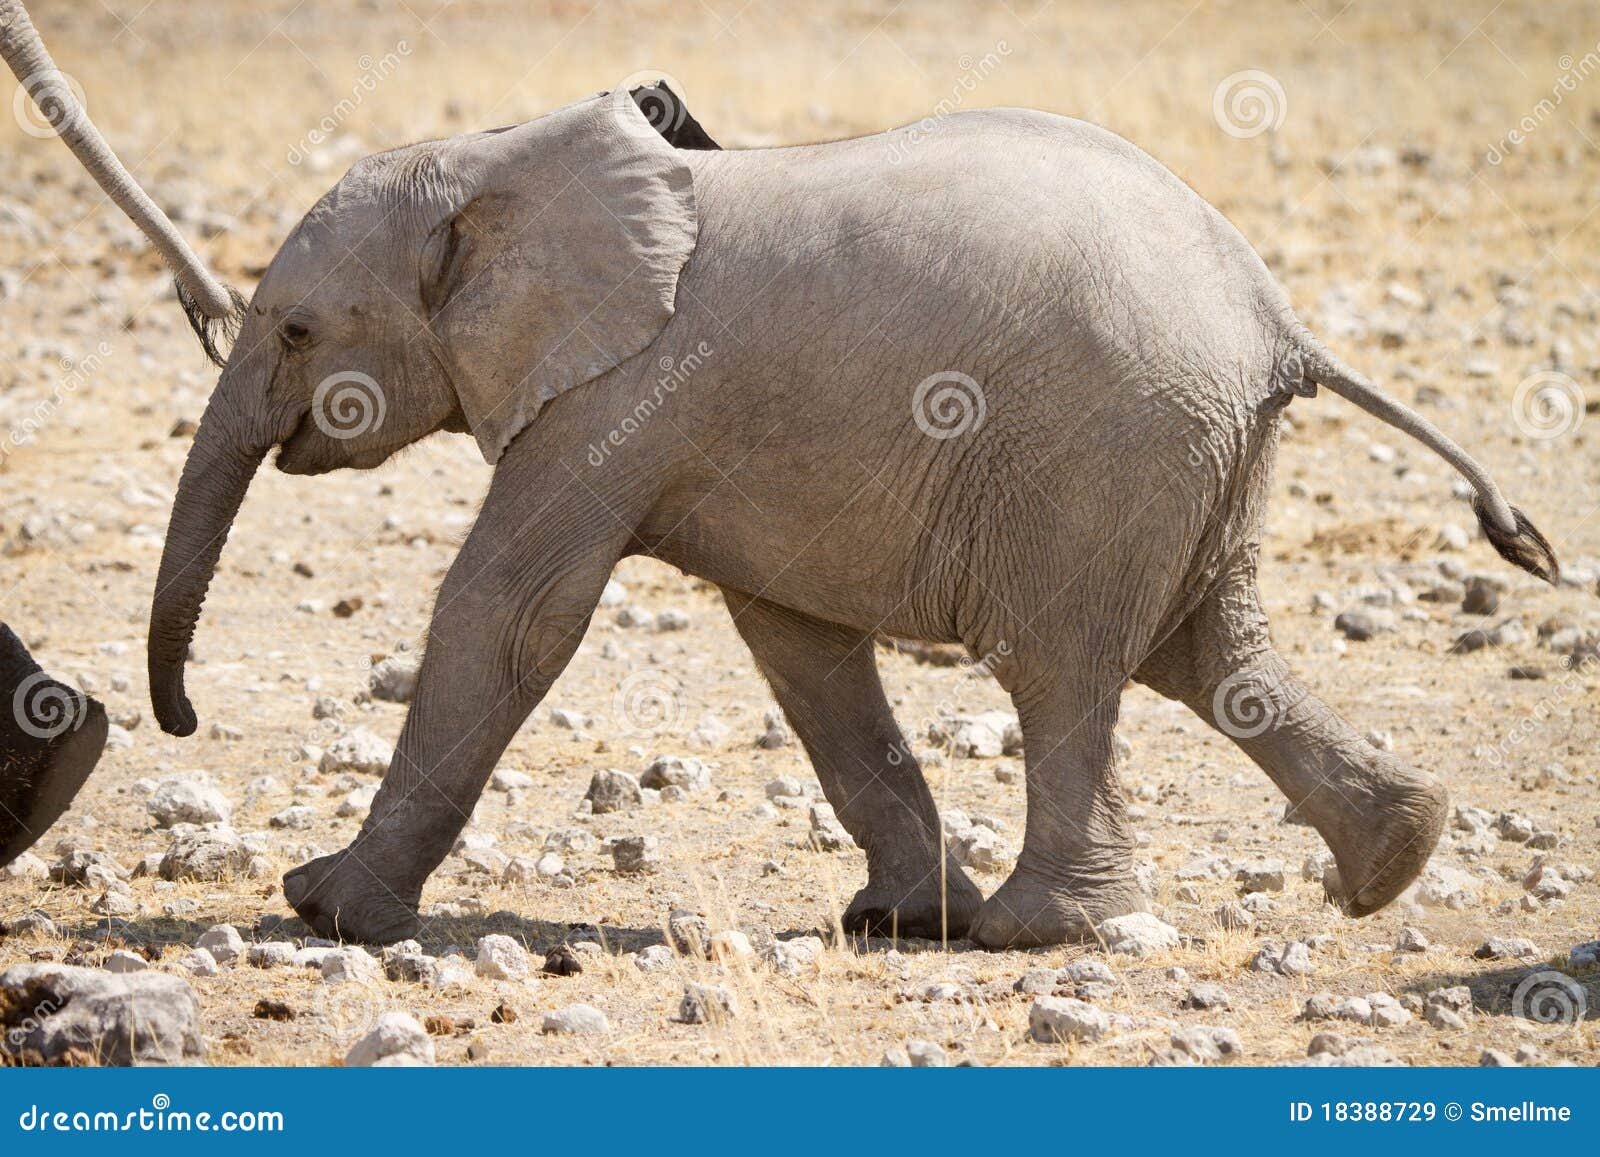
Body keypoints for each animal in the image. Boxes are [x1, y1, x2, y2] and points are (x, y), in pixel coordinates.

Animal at [144, 85, 1558, 948]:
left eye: (295, 330)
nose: (183, 718)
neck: (503, 158)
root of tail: (1276, 321)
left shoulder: (622, 390)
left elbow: (510, 616)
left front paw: (323, 909)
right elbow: (800, 648)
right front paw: (895, 918)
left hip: (1102, 454)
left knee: (1063, 666)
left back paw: (1041, 929)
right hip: (1186, 458)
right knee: (1209, 654)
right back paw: (1393, 861)